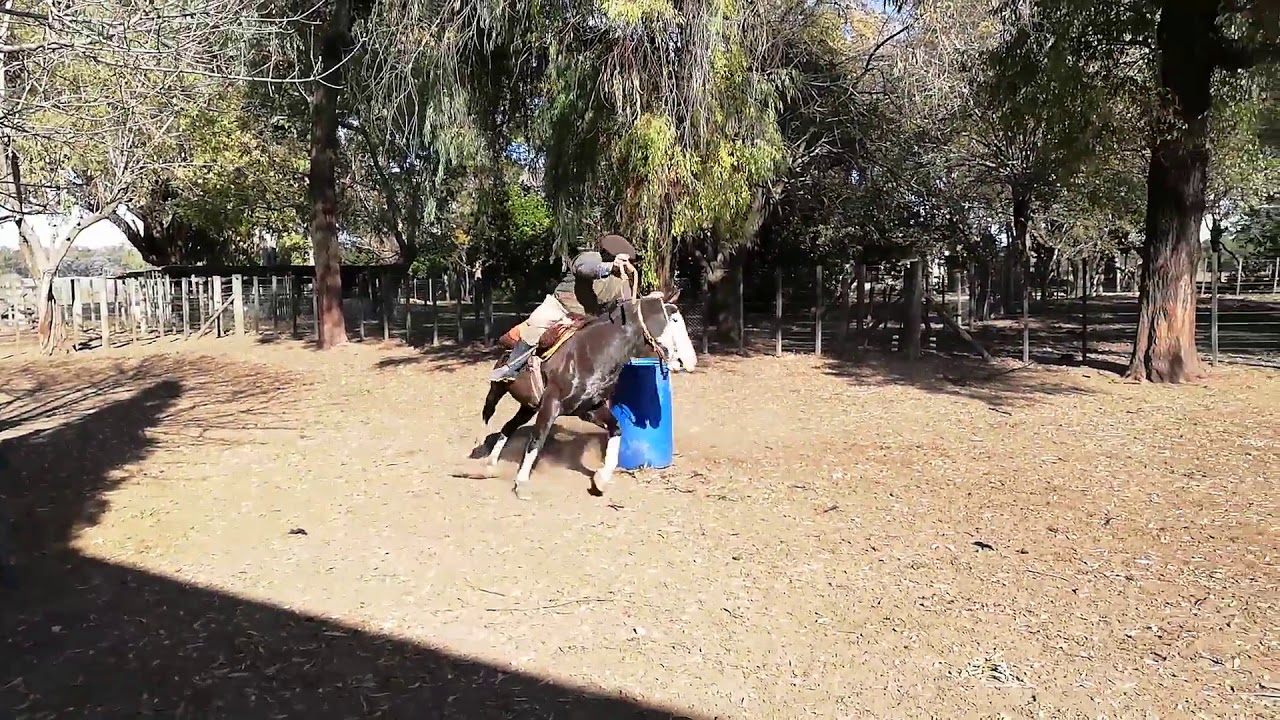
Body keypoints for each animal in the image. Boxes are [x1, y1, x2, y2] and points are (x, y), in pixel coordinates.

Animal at [471, 292, 698, 500]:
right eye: (673, 320)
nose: (690, 361)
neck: (590, 353)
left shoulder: (589, 409)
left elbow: (616, 430)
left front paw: (601, 480)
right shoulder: (551, 405)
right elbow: (537, 440)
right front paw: (521, 483)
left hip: (528, 407)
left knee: (508, 426)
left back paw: (491, 463)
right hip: (499, 389)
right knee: (488, 410)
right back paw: (479, 448)